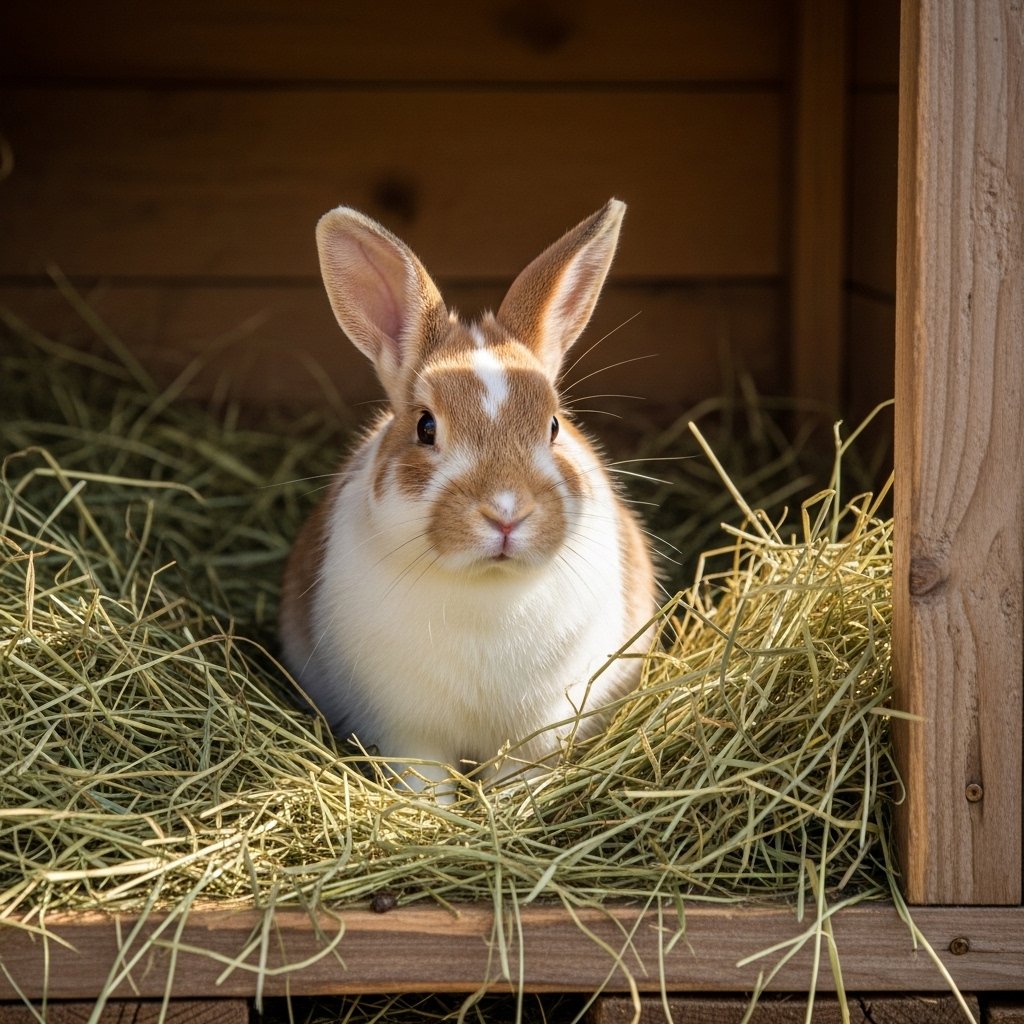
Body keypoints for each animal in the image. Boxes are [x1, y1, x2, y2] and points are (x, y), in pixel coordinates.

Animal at [278, 199, 657, 797]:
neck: (487, 588)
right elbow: (425, 780)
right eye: (425, 427)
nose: (506, 513)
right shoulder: (408, 731)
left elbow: (517, 778)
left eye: (554, 425)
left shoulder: (535, 733)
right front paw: (432, 811)